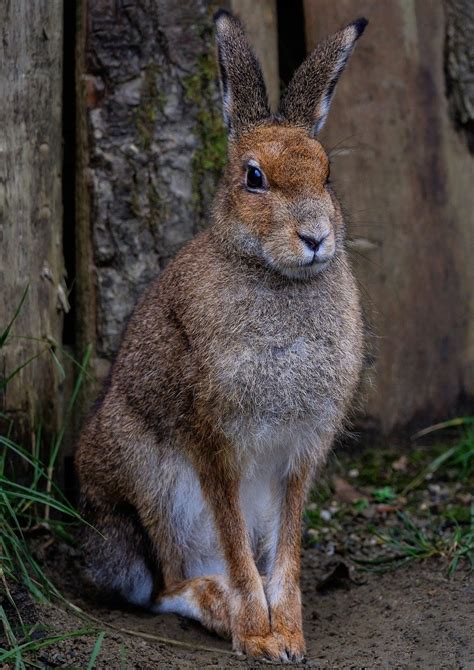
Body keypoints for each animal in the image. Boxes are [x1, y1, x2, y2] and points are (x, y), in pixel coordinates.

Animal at [75, 9, 367, 663]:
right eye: (254, 177)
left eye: (328, 174)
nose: (316, 238)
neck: (275, 277)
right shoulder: (213, 443)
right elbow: (237, 553)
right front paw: (258, 638)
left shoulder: (297, 456)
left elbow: (284, 555)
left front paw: (290, 637)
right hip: (153, 480)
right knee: (168, 584)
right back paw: (216, 609)